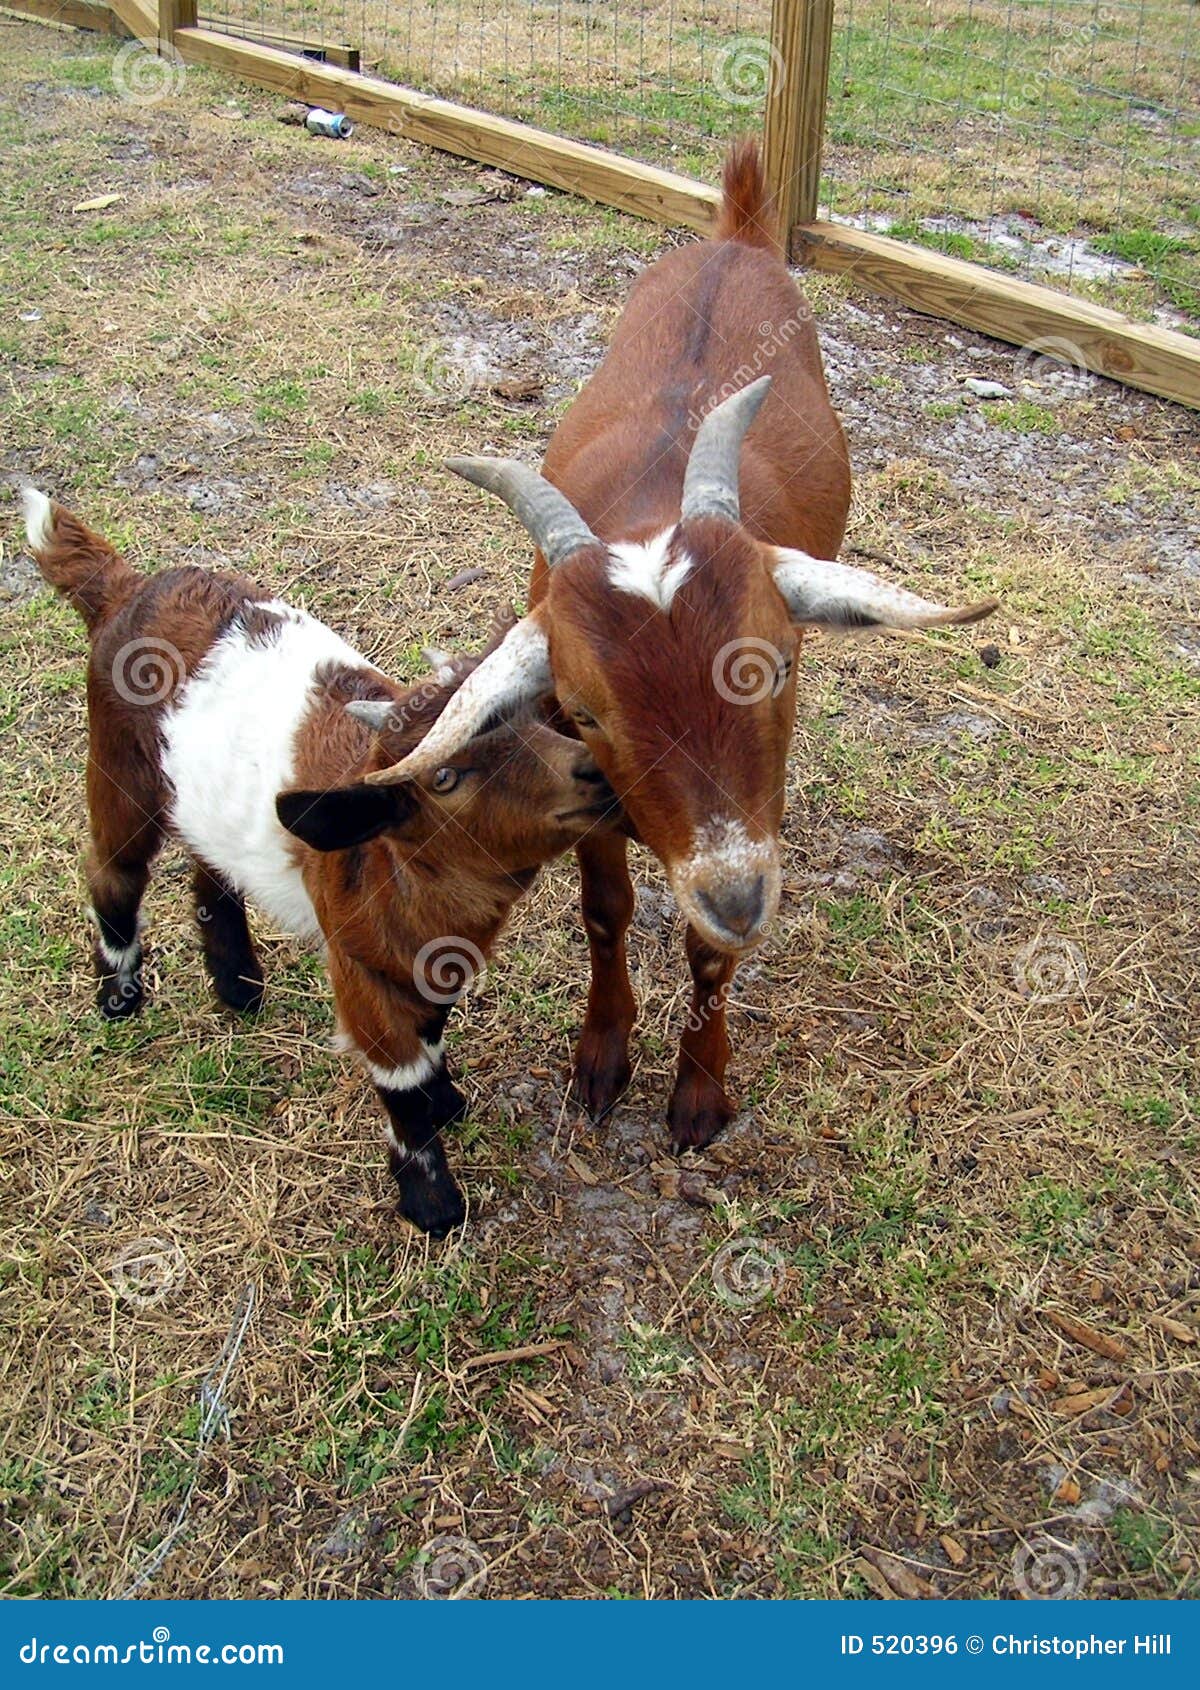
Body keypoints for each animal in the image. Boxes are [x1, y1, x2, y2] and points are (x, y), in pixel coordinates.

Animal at [23, 491, 618, 1236]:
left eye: (538, 718)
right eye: (445, 777)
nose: (594, 774)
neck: (397, 872)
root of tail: (124, 585)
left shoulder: (428, 960)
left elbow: (429, 1037)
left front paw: (448, 1100)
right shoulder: (359, 964)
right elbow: (399, 1080)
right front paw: (432, 1203)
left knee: (211, 865)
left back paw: (238, 985)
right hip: (119, 763)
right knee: (115, 870)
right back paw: (120, 996)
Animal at [364, 139, 997, 1155]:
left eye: (778, 667)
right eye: (586, 711)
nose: (740, 897)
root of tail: (736, 229)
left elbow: (706, 953)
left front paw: (700, 1090)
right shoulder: (588, 786)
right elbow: (605, 912)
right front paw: (601, 1057)